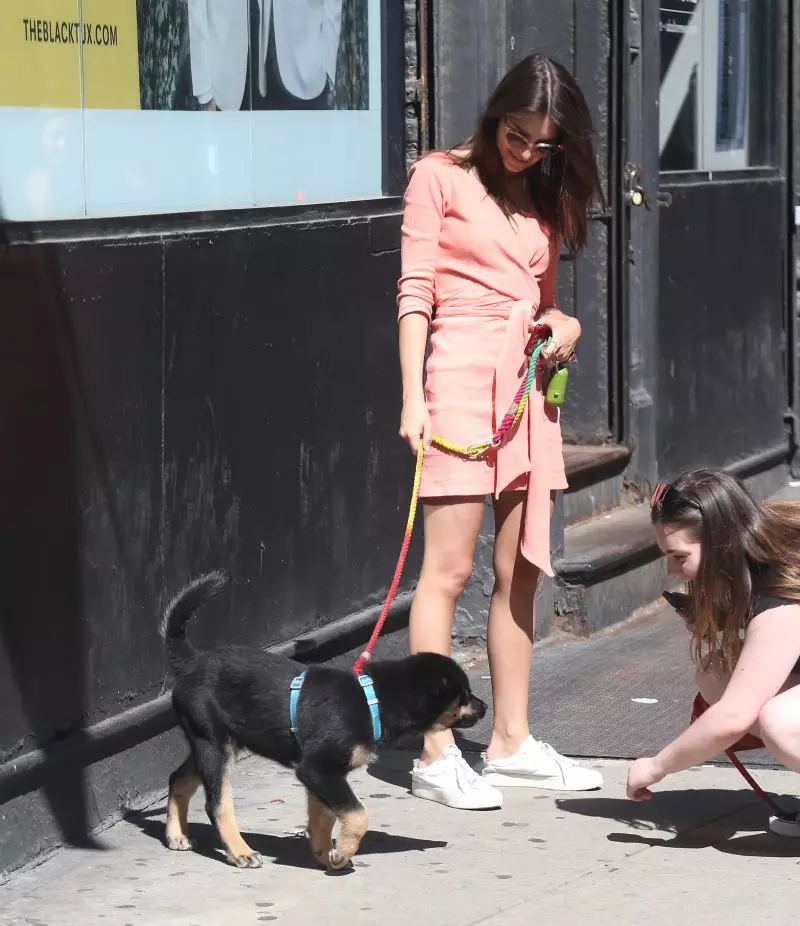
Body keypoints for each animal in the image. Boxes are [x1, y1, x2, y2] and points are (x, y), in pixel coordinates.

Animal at [159, 572, 484, 872]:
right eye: (464, 695)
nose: (484, 707)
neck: (372, 699)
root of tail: (193, 661)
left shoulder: (319, 775)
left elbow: (323, 817)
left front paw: (324, 853)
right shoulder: (318, 769)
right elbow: (357, 813)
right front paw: (342, 853)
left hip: (213, 741)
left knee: (177, 779)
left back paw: (176, 835)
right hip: (215, 745)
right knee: (216, 803)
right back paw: (240, 851)